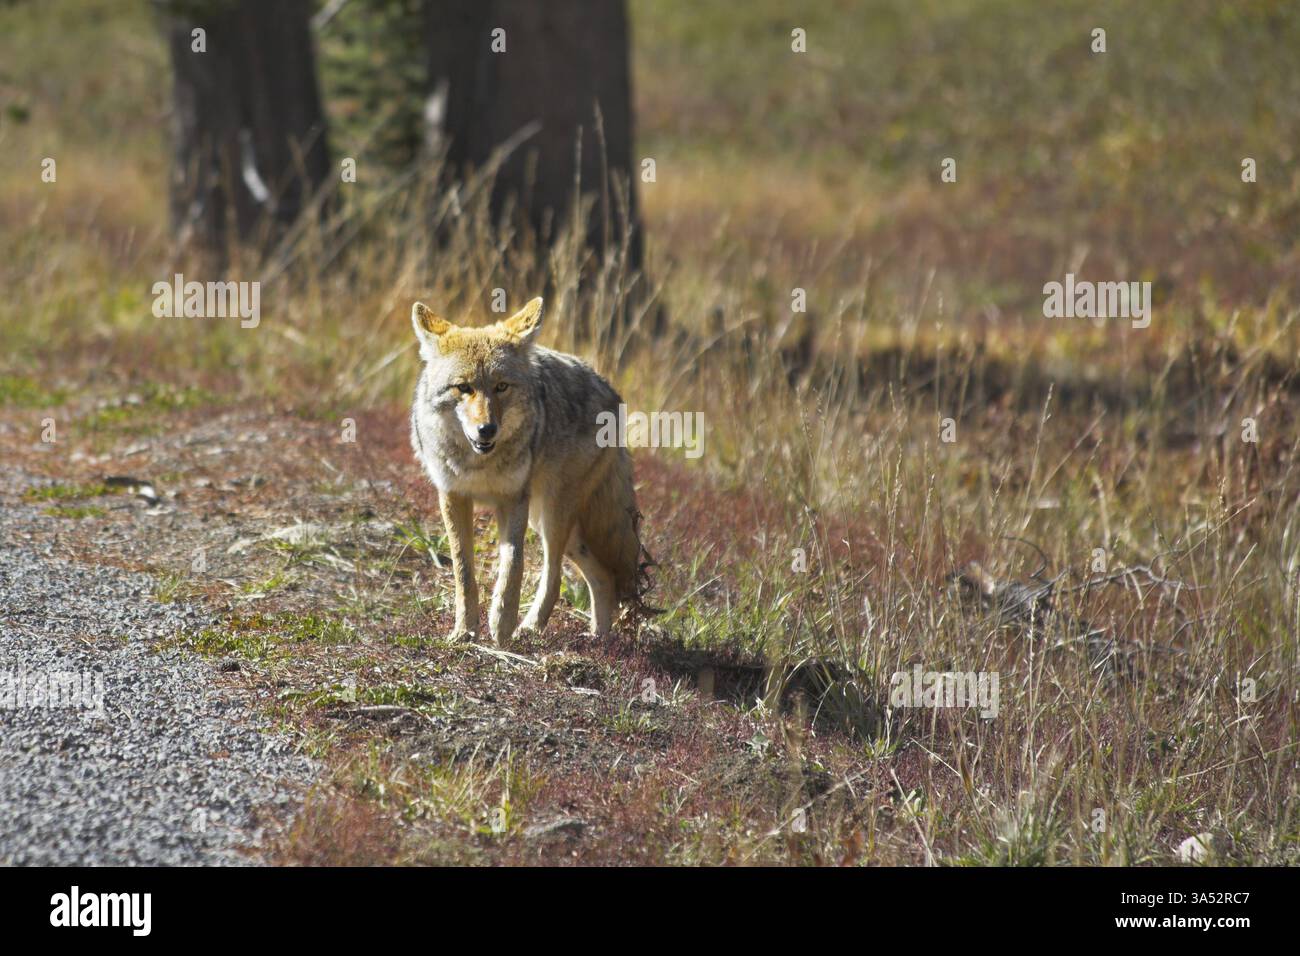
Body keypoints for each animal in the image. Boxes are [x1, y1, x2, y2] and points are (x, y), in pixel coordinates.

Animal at [409, 297, 651, 644]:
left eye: (501, 386)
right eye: (463, 388)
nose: (487, 430)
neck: (480, 463)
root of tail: (612, 393)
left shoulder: (513, 499)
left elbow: (513, 566)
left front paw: (502, 625)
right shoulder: (453, 497)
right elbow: (464, 572)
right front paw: (465, 631)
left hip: (552, 515)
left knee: (554, 576)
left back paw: (532, 627)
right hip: (555, 524)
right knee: (602, 577)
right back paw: (599, 640)